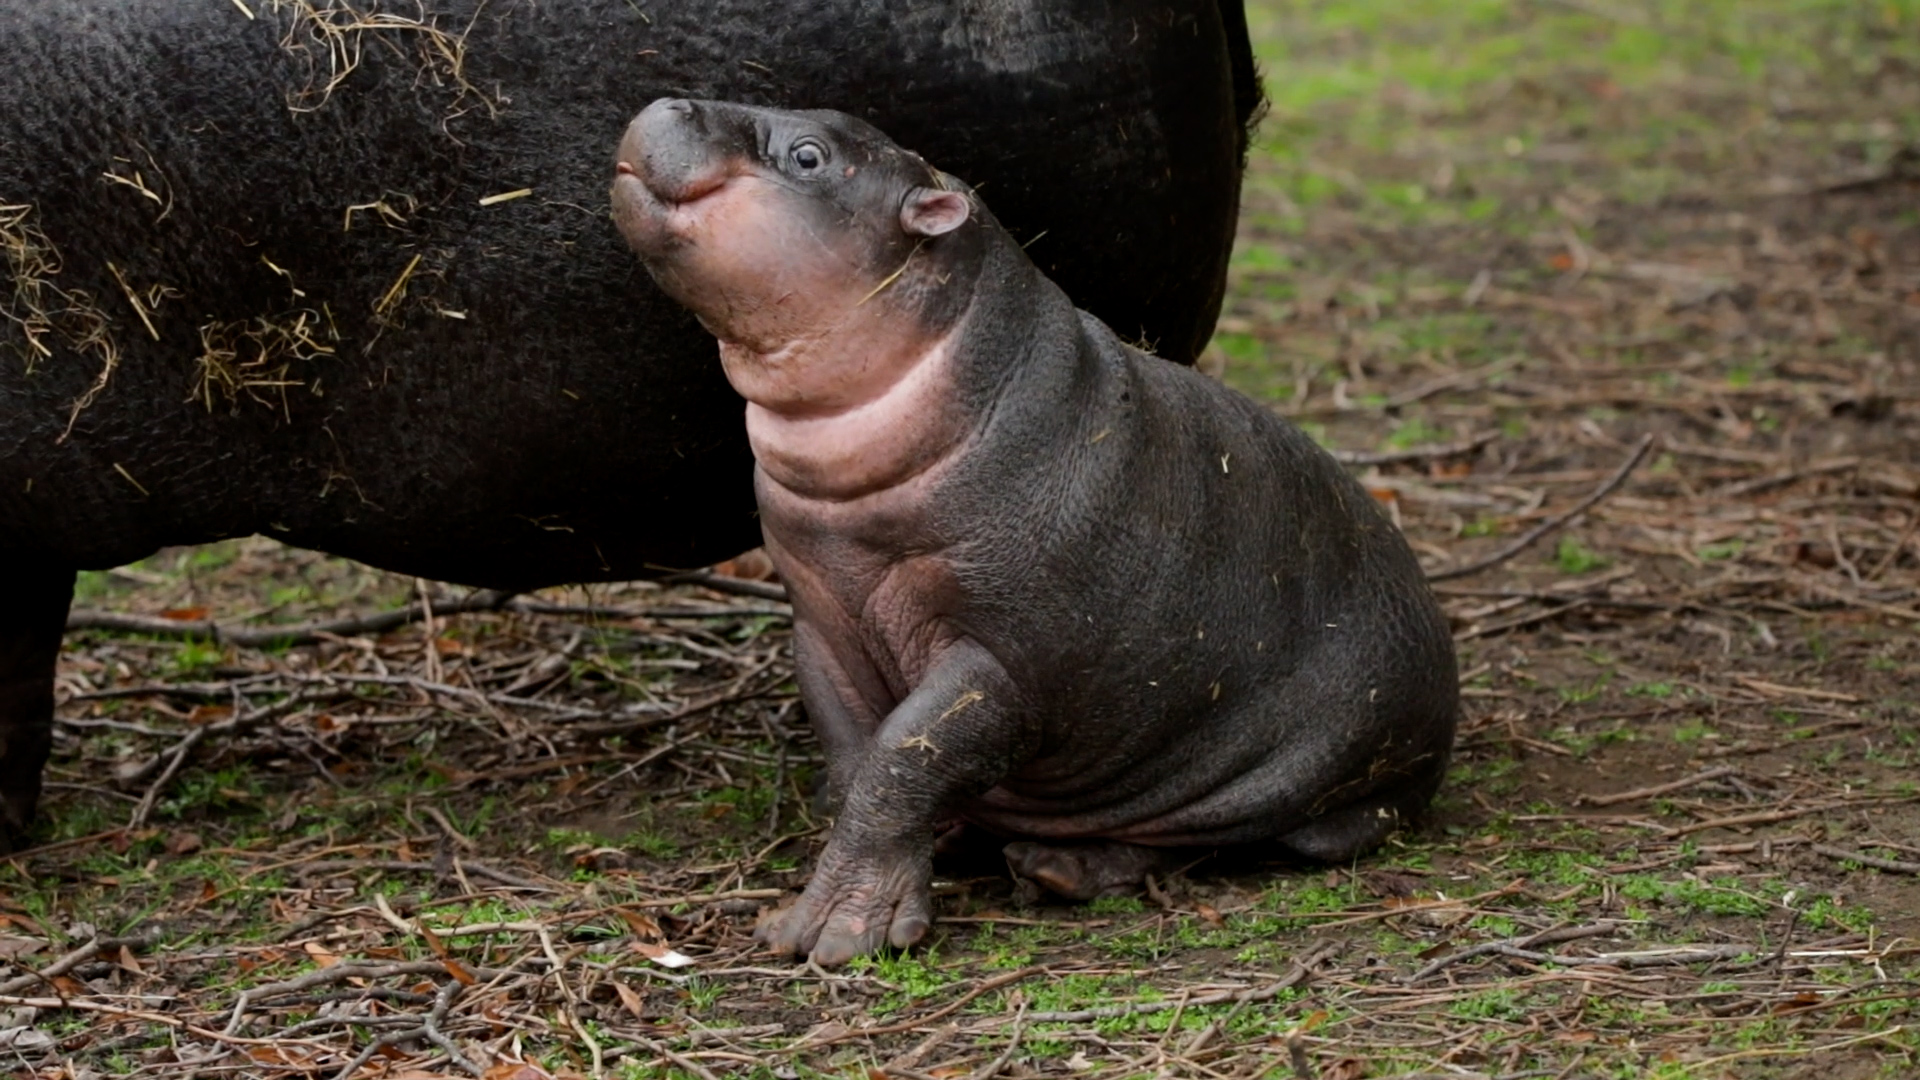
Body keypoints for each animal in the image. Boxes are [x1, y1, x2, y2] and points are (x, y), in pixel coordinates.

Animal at [610, 100, 1460, 966]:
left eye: (810, 155)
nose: (671, 103)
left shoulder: (1006, 661)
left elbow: (903, 759)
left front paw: (831, 936)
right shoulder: (821, 623)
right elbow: (854, 756)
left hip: (1281, 773)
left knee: (1218, 839)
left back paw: (1056, 869)